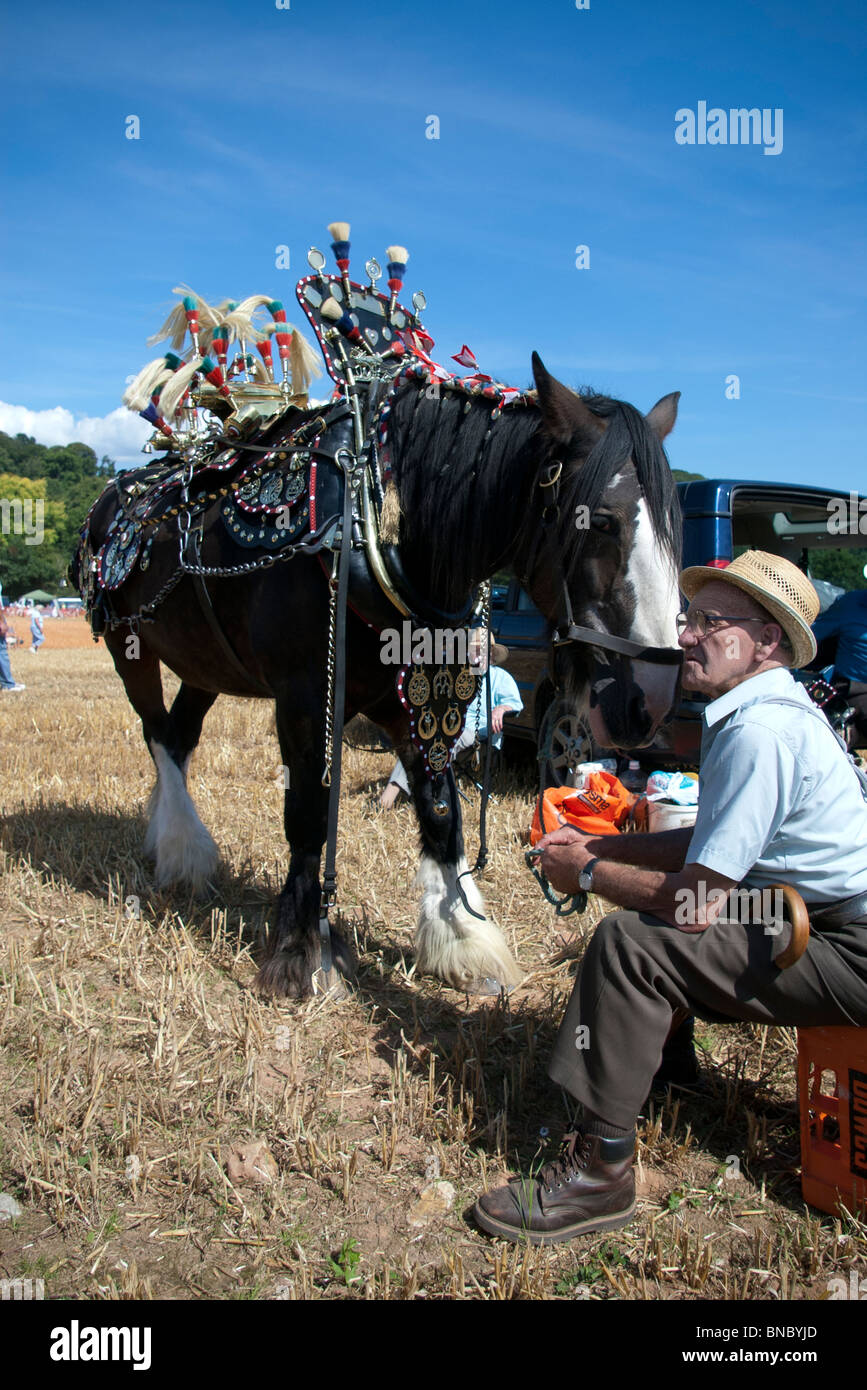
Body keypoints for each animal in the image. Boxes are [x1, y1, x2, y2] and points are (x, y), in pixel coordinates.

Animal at [73, 352, 683, 999]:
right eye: (604, 522)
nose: (652, 699)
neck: (372, 521)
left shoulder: (416, 699)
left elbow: (441, 811)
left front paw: (463, 941)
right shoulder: (304, 697)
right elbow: (309, 816)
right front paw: (299, 951)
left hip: (203, 664)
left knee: (180, 736)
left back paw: (171, 840)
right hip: (129, 646)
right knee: (158, 734)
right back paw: (183, 848)